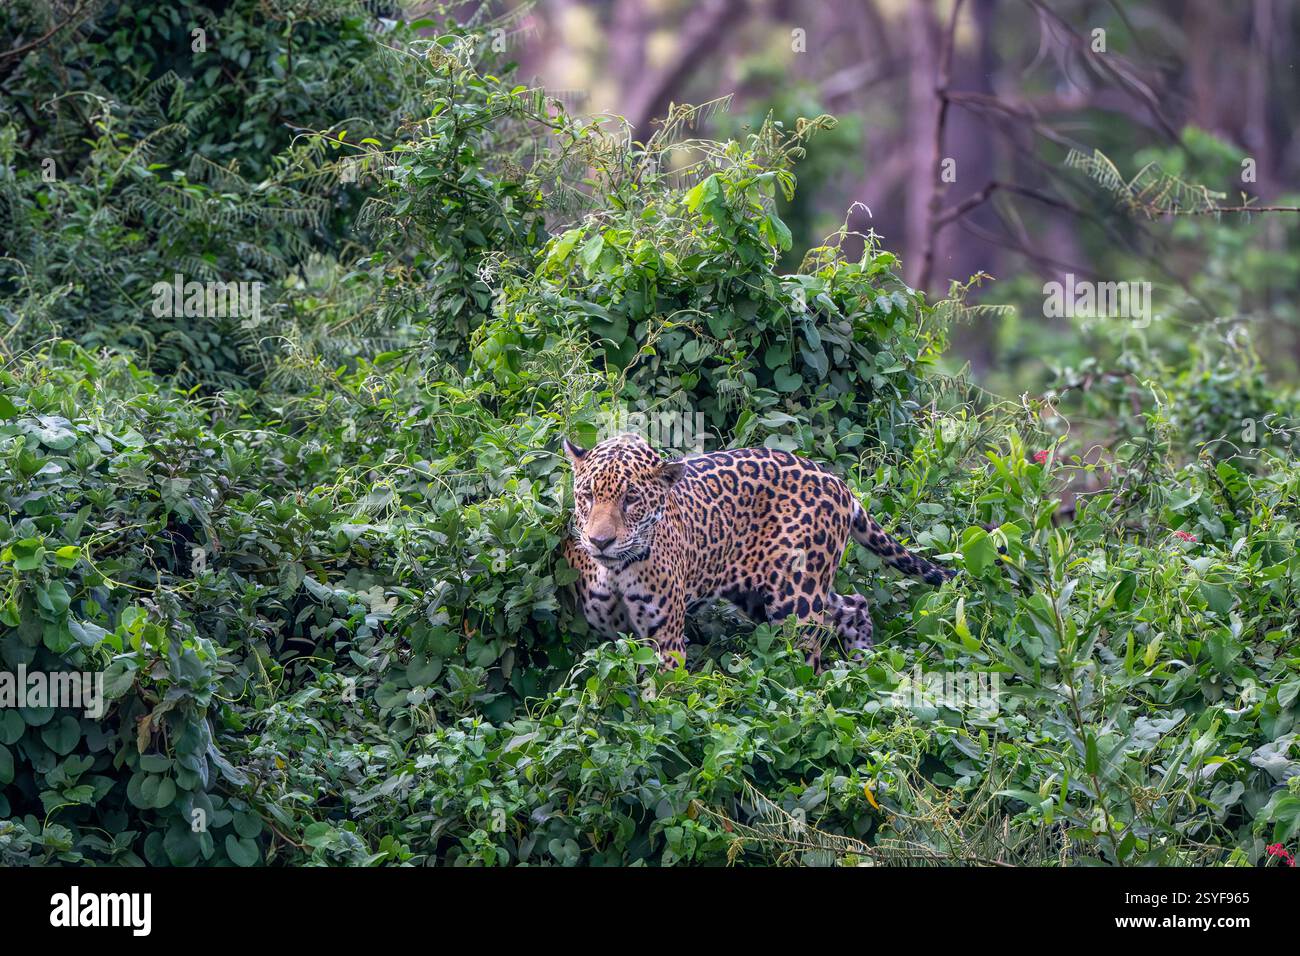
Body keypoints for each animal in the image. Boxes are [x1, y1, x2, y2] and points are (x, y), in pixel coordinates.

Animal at [560, 432, 955, 670]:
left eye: (631, 499)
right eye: (587, 496)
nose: (600, 541)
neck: (615, 570)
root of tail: (840, 484)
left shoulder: (666, 639)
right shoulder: (611, 628)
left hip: (796, 602)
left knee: (807, 663)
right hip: (763, 594)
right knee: (852, 605)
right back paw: (862, 664)